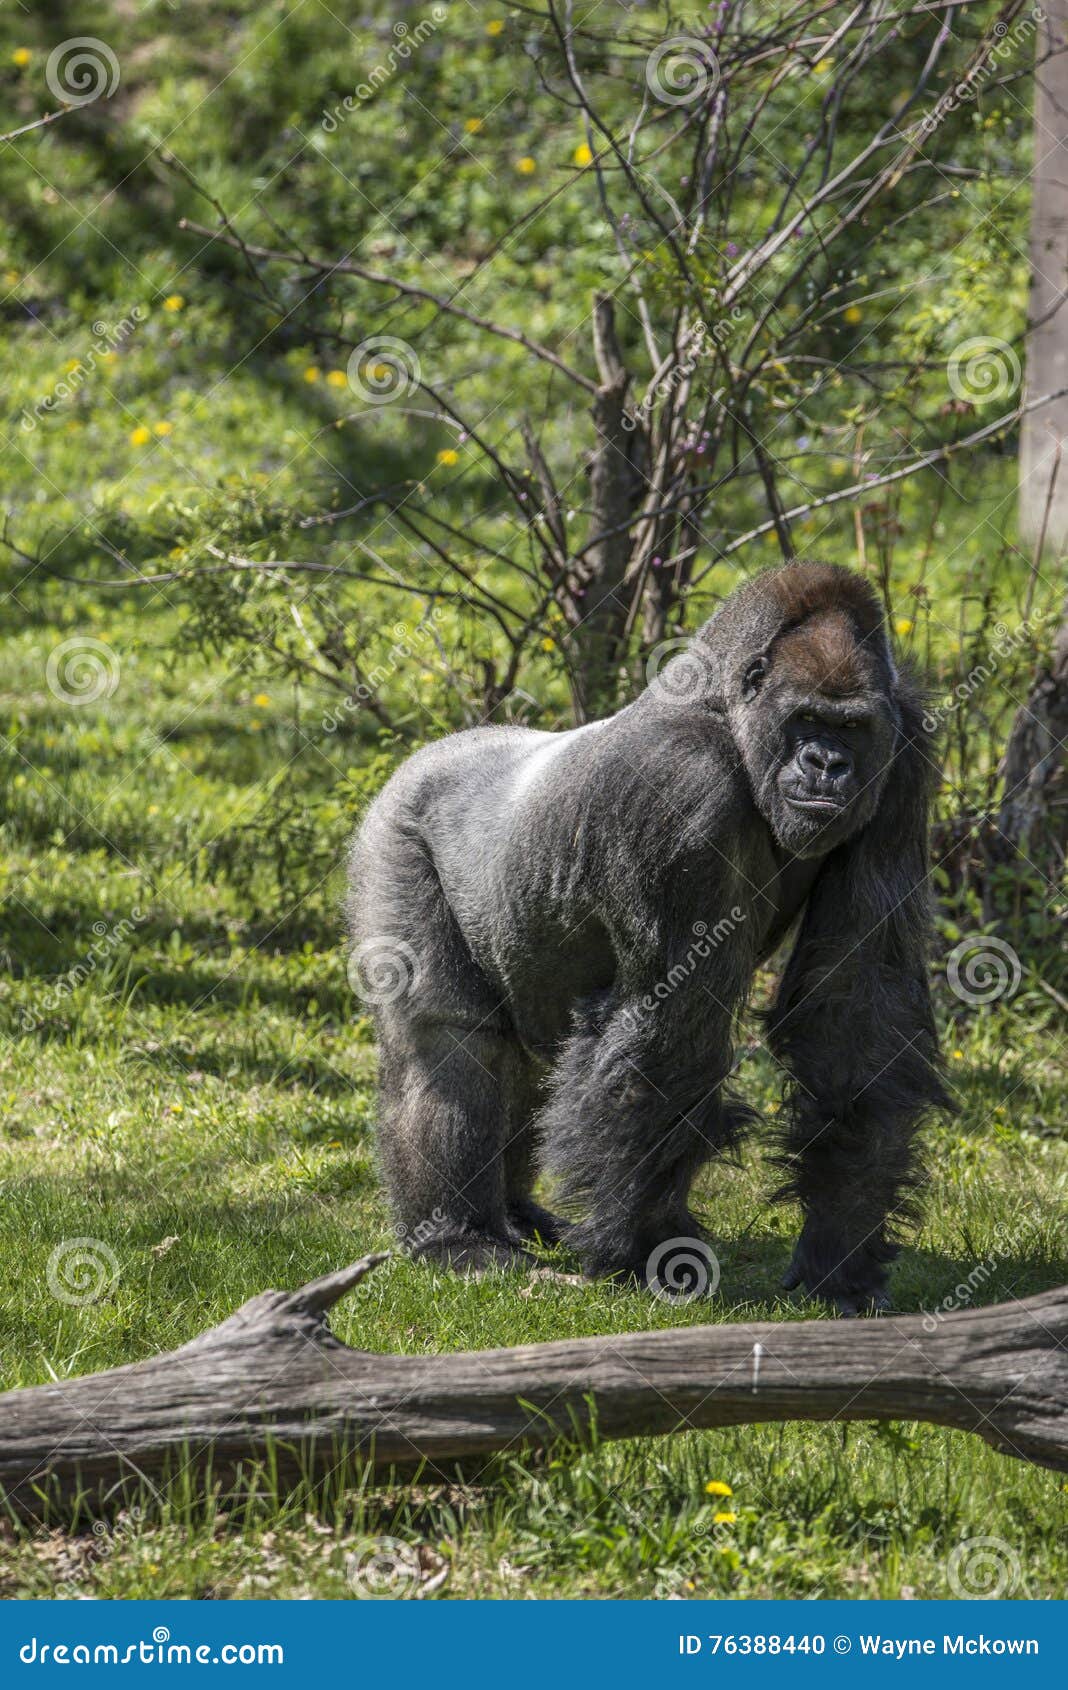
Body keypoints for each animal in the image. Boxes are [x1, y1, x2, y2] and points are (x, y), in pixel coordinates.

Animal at [346, 560, 949, 1313]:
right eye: (806, 719)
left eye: (852, 726)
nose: (826, 764)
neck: (729, 714)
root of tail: (435, 749)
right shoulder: (681, 787)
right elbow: (667, 1032)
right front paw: (647, 1251)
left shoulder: (902, 764)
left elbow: (855, 1007)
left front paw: (840, 1249)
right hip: (394, 829)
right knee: (449, 1039)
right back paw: (457, 1237)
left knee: (525, 1056)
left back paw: (518, 1214)